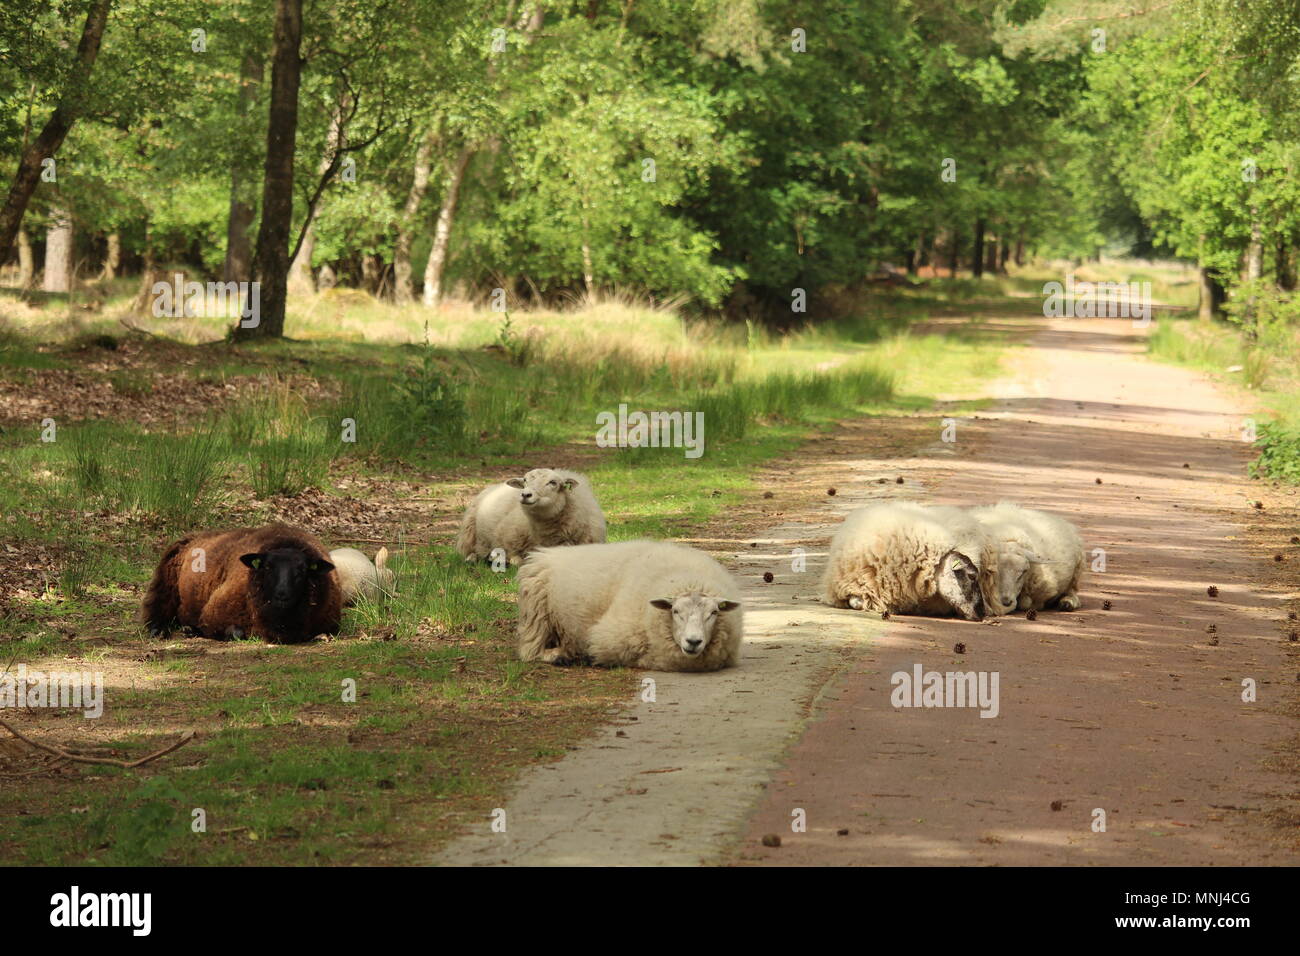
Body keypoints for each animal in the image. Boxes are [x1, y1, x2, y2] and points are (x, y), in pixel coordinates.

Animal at [141, 524, 341, 644]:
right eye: (267, 567)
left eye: (302, 570)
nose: (282, 595)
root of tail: (195, 535)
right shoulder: (212, 617)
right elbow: (235, 632)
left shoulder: (330, 625)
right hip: (164, 586)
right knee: (156, 610)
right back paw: (160, 631)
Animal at [455, 467, 606, 565]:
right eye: (525, 480)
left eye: (553, 482)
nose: (525, 494)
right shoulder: (507, 540)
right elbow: (516, 560)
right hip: (469, 531)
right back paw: (474, 558)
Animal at [515, 540, 743, 671]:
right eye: (675, 611)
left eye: (714, 612)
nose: (693, 641)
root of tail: (546, 552)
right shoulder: (609, 637)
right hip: (535, 613)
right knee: (529, 651)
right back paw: (557, 656)